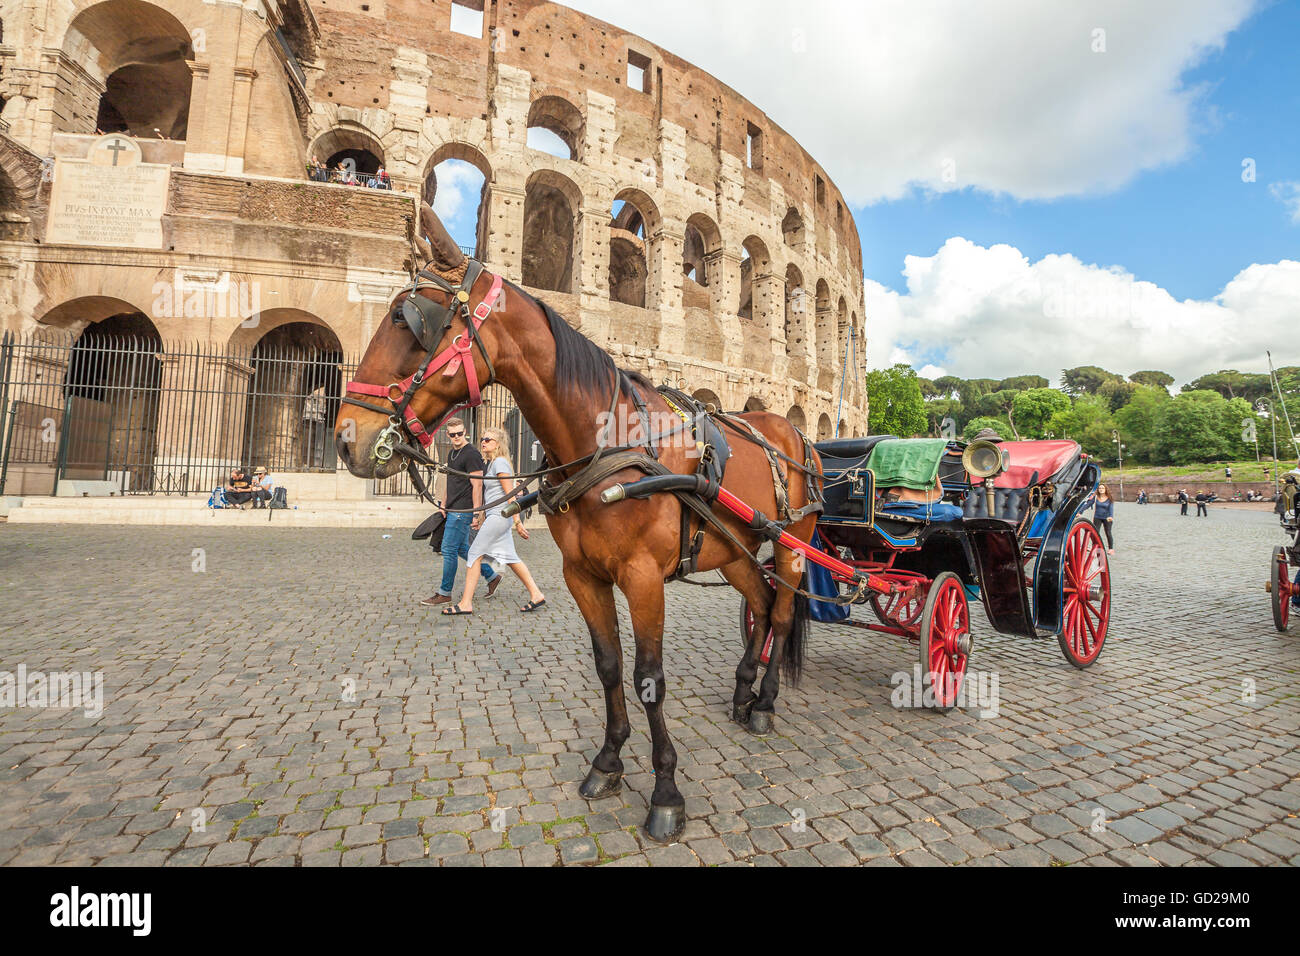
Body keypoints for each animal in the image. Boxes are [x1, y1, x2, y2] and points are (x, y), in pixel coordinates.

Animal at [334, 202, 823, 843]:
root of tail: (796, 434)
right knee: (761, 605)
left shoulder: (642, 577)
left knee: (784, 611)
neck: (604, 444)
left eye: (409, 321)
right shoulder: (582, 576)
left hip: (795, 541)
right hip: (733, 547)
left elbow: (647, 677)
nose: (346, 438)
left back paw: (763, 705)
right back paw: (743, 694)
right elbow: (609, 667)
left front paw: (665, 793)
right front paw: (609, 763)